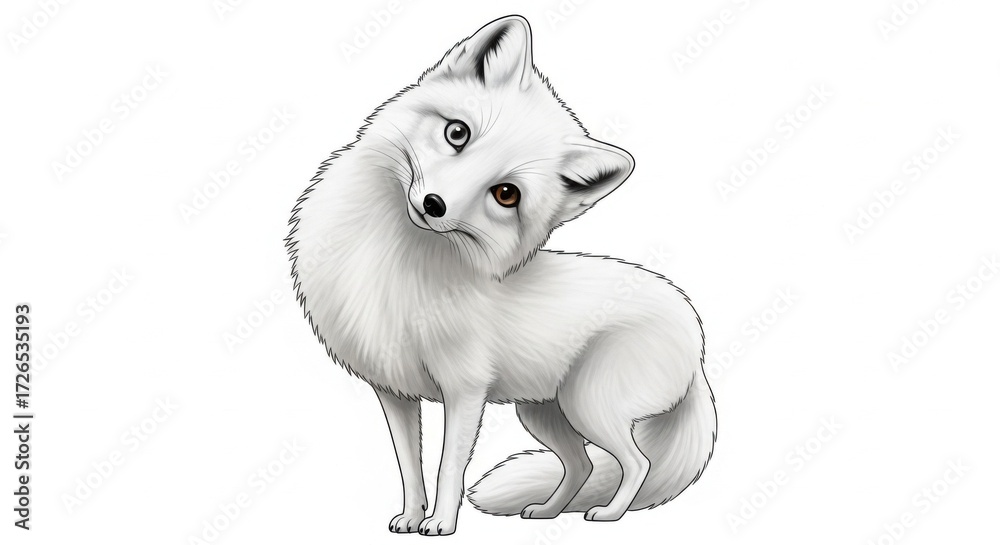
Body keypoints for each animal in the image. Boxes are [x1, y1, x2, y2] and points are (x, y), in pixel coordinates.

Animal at [286, 15, 716, 536]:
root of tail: (695, 335)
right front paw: (410, 517)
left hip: (587, 406)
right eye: (457, 133)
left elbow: (449, 466)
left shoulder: (465, 391)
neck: (392, 263)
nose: (433, 205)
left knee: (637, 463)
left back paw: (608, 514)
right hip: (542, 413)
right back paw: (546, 512)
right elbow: (409, 465)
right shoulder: (393, 391)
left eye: (506, 194)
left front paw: (441, 524)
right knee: (582, 465)